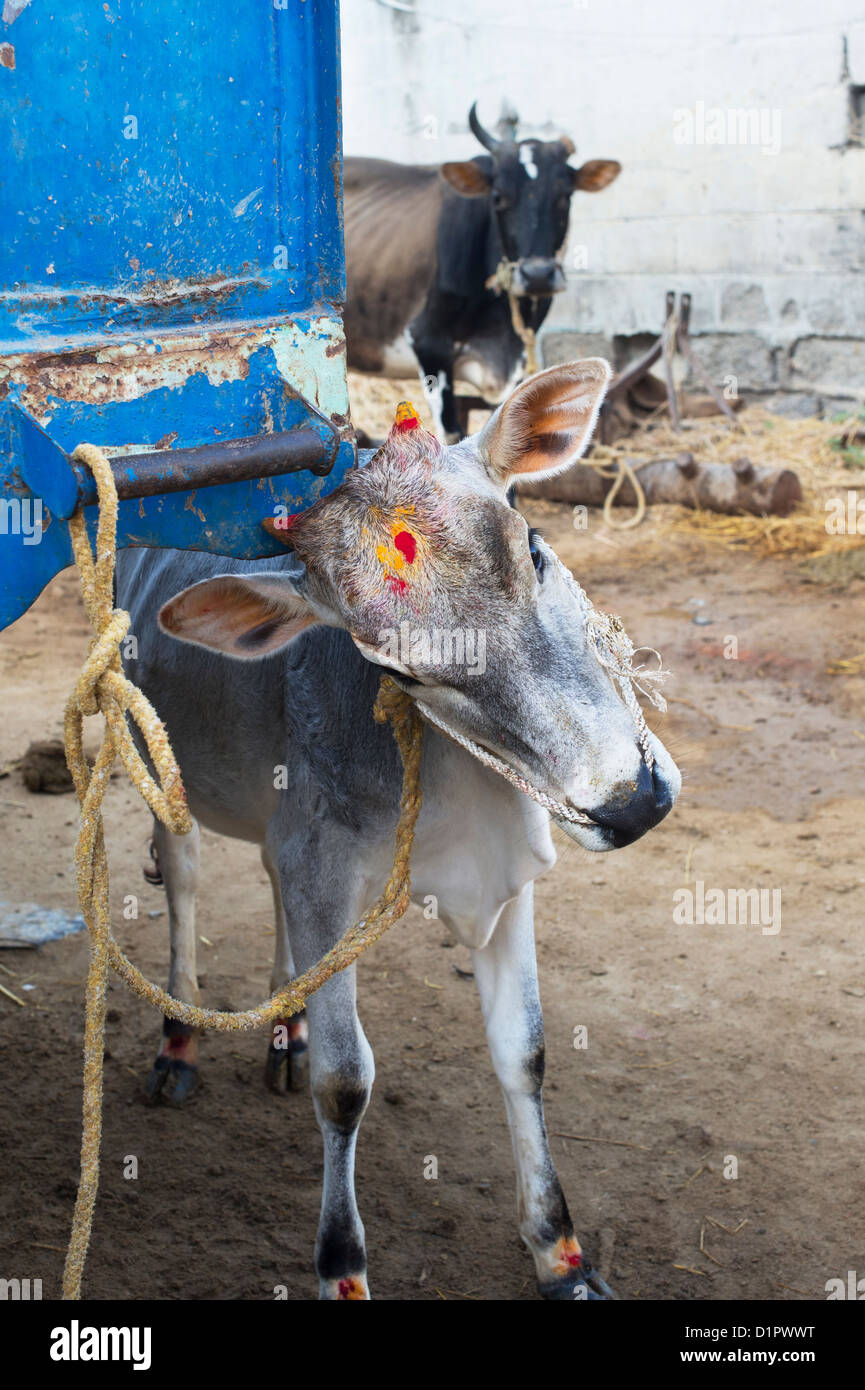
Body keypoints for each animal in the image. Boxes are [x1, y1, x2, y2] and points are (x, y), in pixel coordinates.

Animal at [117, 359, 679, 1300]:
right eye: (397, 670)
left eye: (532, 547)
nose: (629, 800)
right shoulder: (321, 862)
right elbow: (347, 1083)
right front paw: (341, 1266)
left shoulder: (499, 885)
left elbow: (523, 1050)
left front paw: (560, 1252)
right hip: (157, 767)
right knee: (185, 883)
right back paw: (180, 1045)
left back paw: (286, 1029)